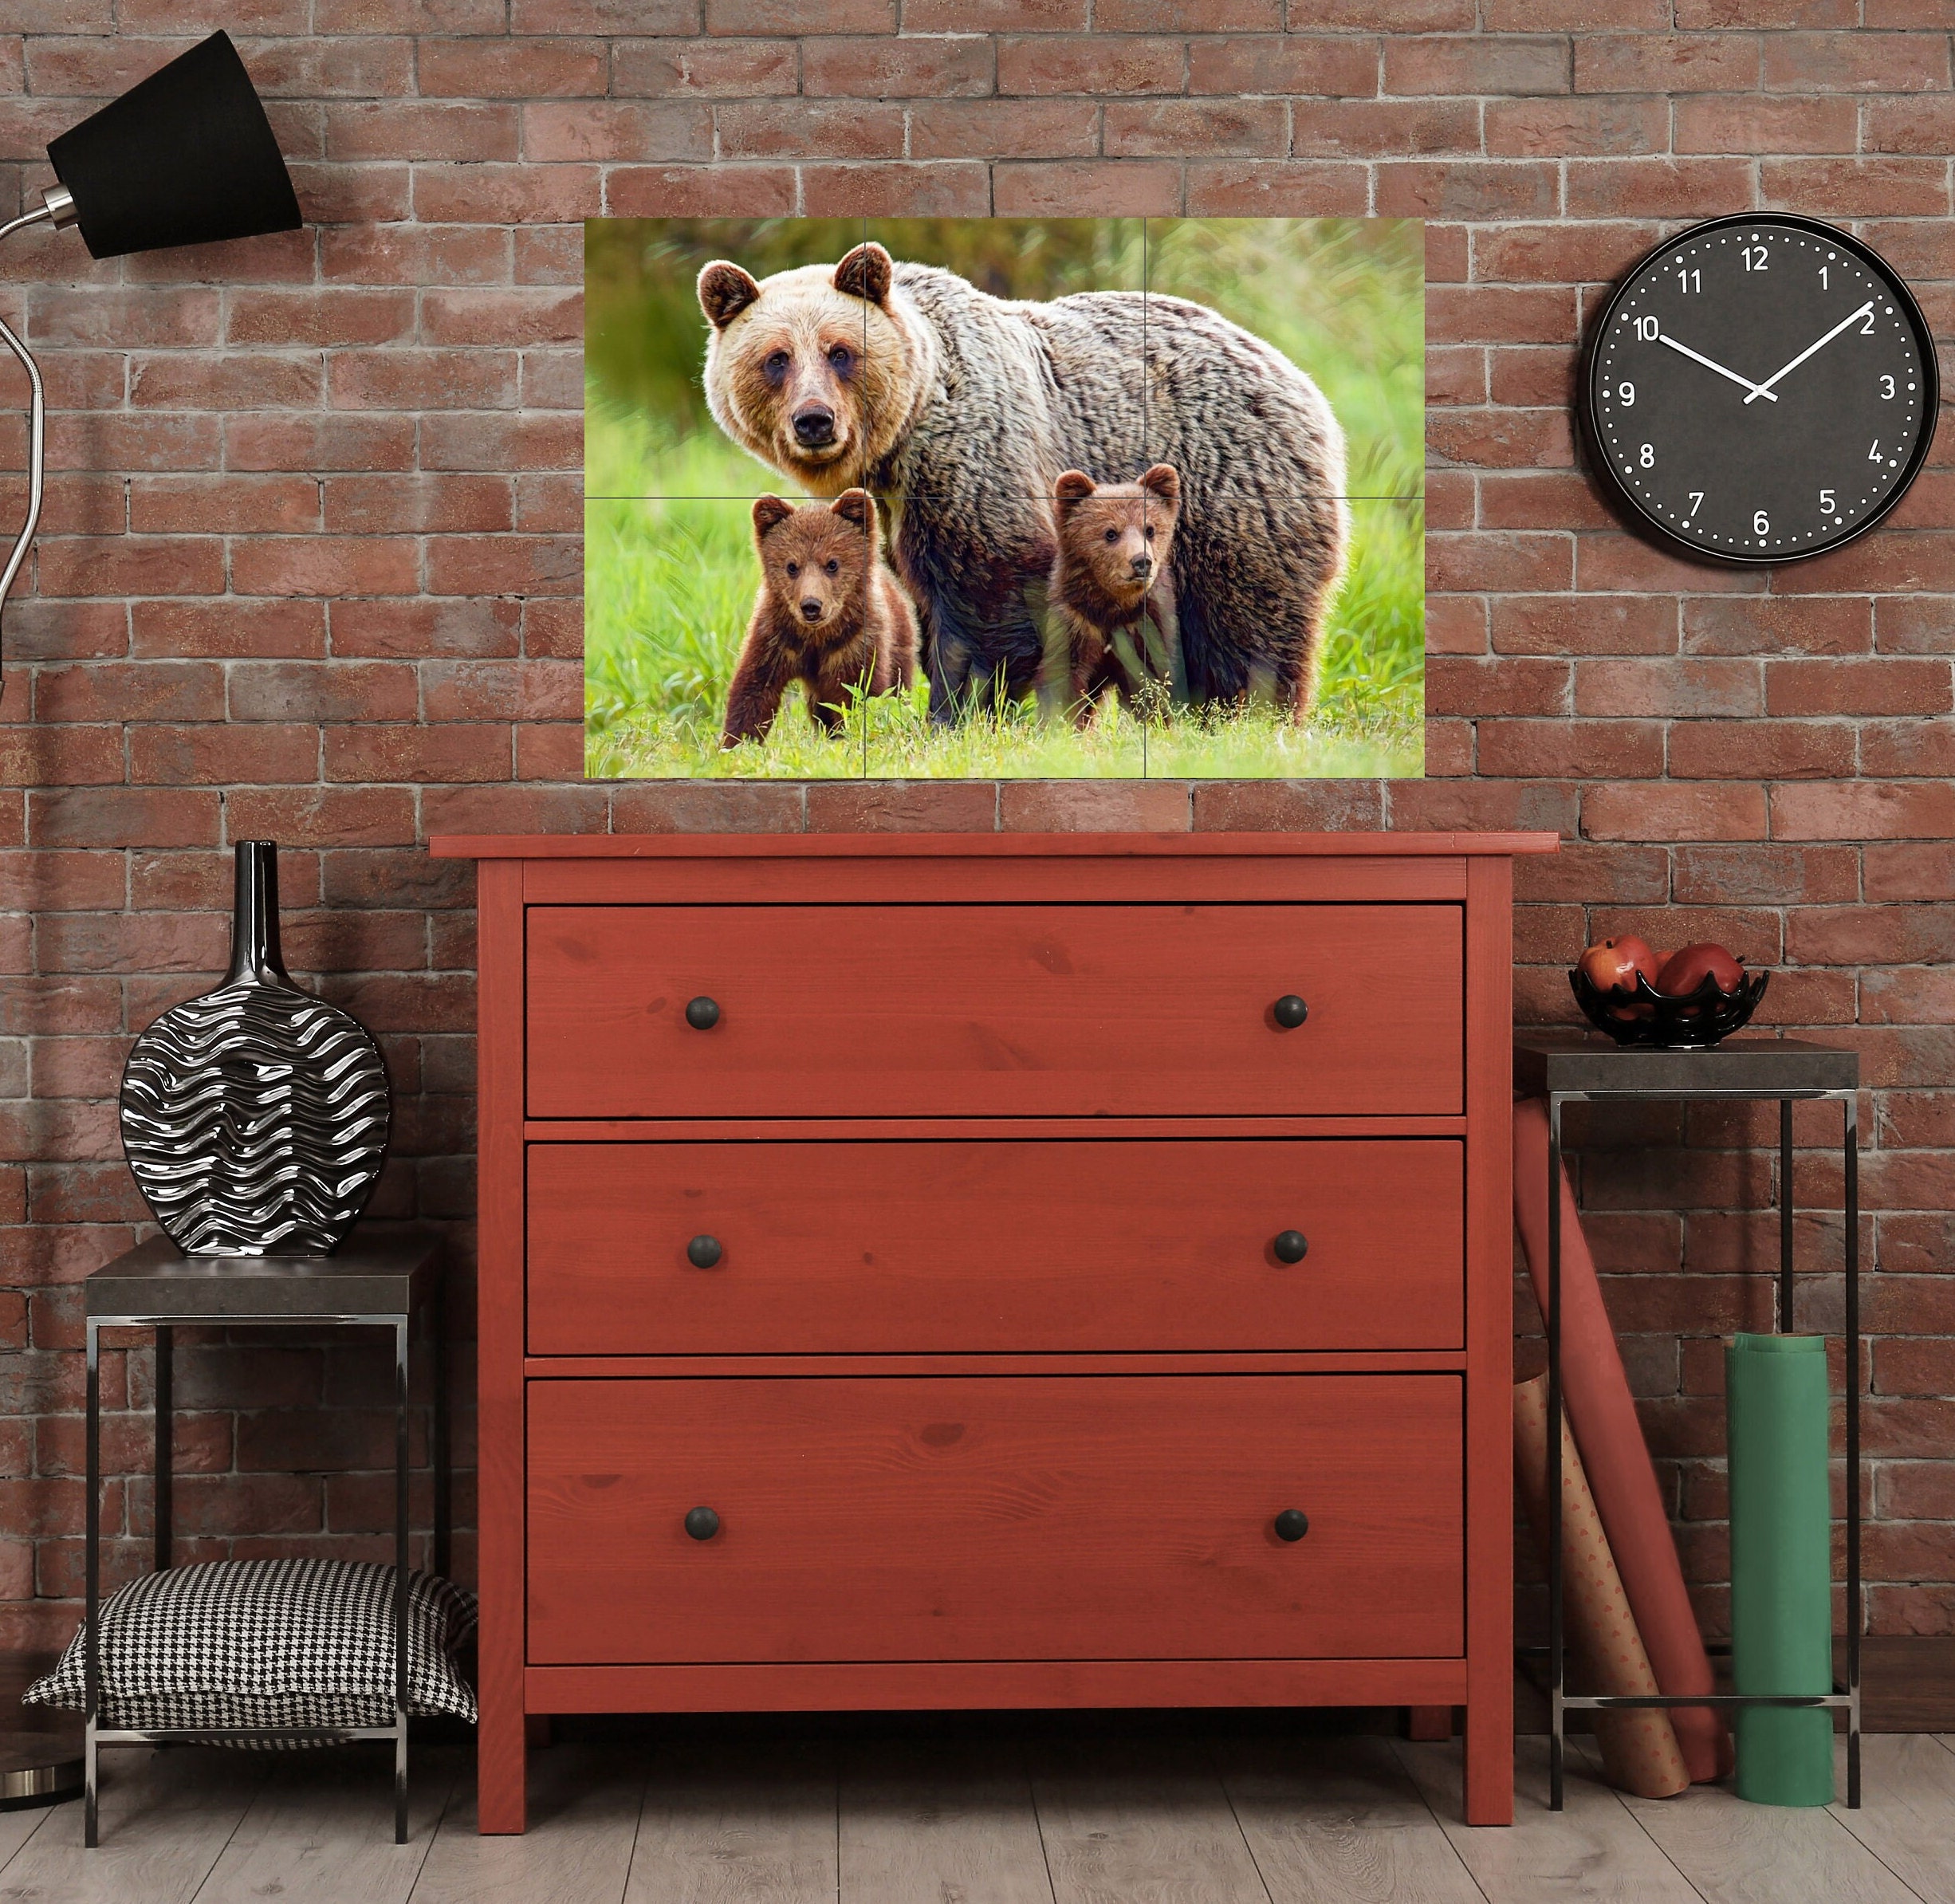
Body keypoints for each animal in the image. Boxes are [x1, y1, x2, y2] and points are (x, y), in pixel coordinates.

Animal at [720, 487, 917, 749]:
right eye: (792, 566)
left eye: (832, 563)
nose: (811, 605)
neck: (816, 637)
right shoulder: (775, 638)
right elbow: (753, 691)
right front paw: (735, 744)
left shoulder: (855, 644)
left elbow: (860, 695)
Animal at [1046, 463, 1183, 725]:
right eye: (1110, 533)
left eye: (1150, 530)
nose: (1142, 561)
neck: (1112, 610)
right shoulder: (1078, 625)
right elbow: (1066, 684)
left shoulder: (1147, 626)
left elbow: (1152, 685)